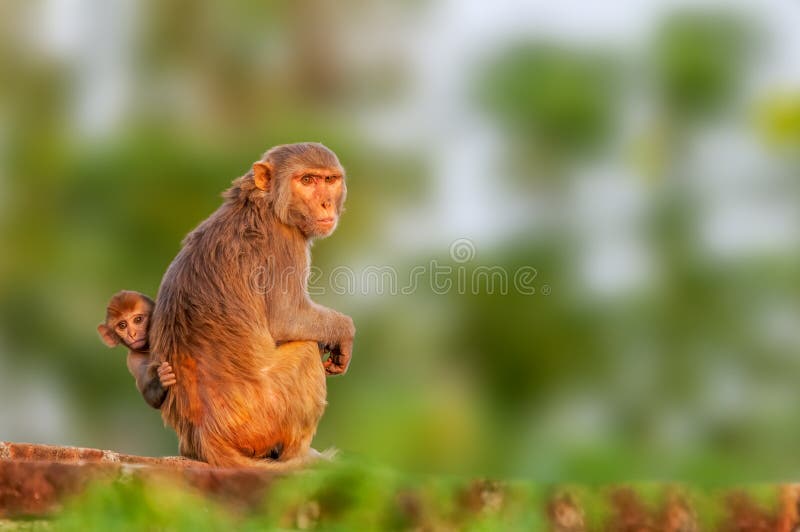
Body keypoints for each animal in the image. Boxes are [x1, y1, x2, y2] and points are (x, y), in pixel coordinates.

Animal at [150, 142, 354, 468]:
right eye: (307, 180)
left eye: (329, 180)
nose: (325, 203)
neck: (263, 204)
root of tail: (206, 435)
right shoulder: (285, 243)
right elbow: (288, 319)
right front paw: (344, 332)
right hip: (260, 417)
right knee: (305, 352)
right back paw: (299, 457)